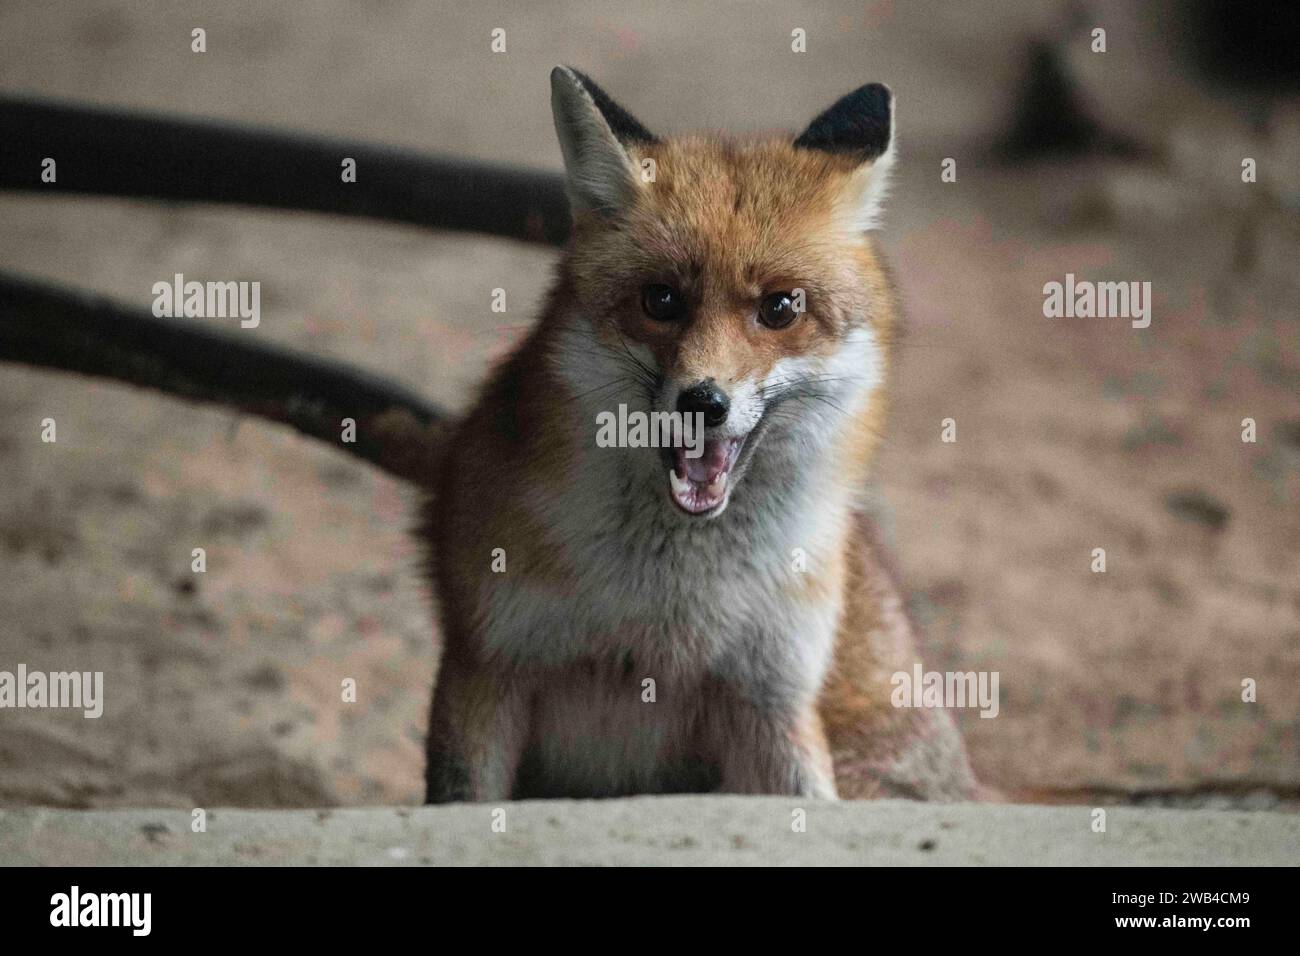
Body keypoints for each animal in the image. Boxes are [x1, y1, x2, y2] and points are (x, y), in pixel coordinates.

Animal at [421, 67, 979, 802]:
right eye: (661, 300)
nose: (702, 403)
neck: (672, 611)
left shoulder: (771, 696)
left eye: (780, 308)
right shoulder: (486, 664)